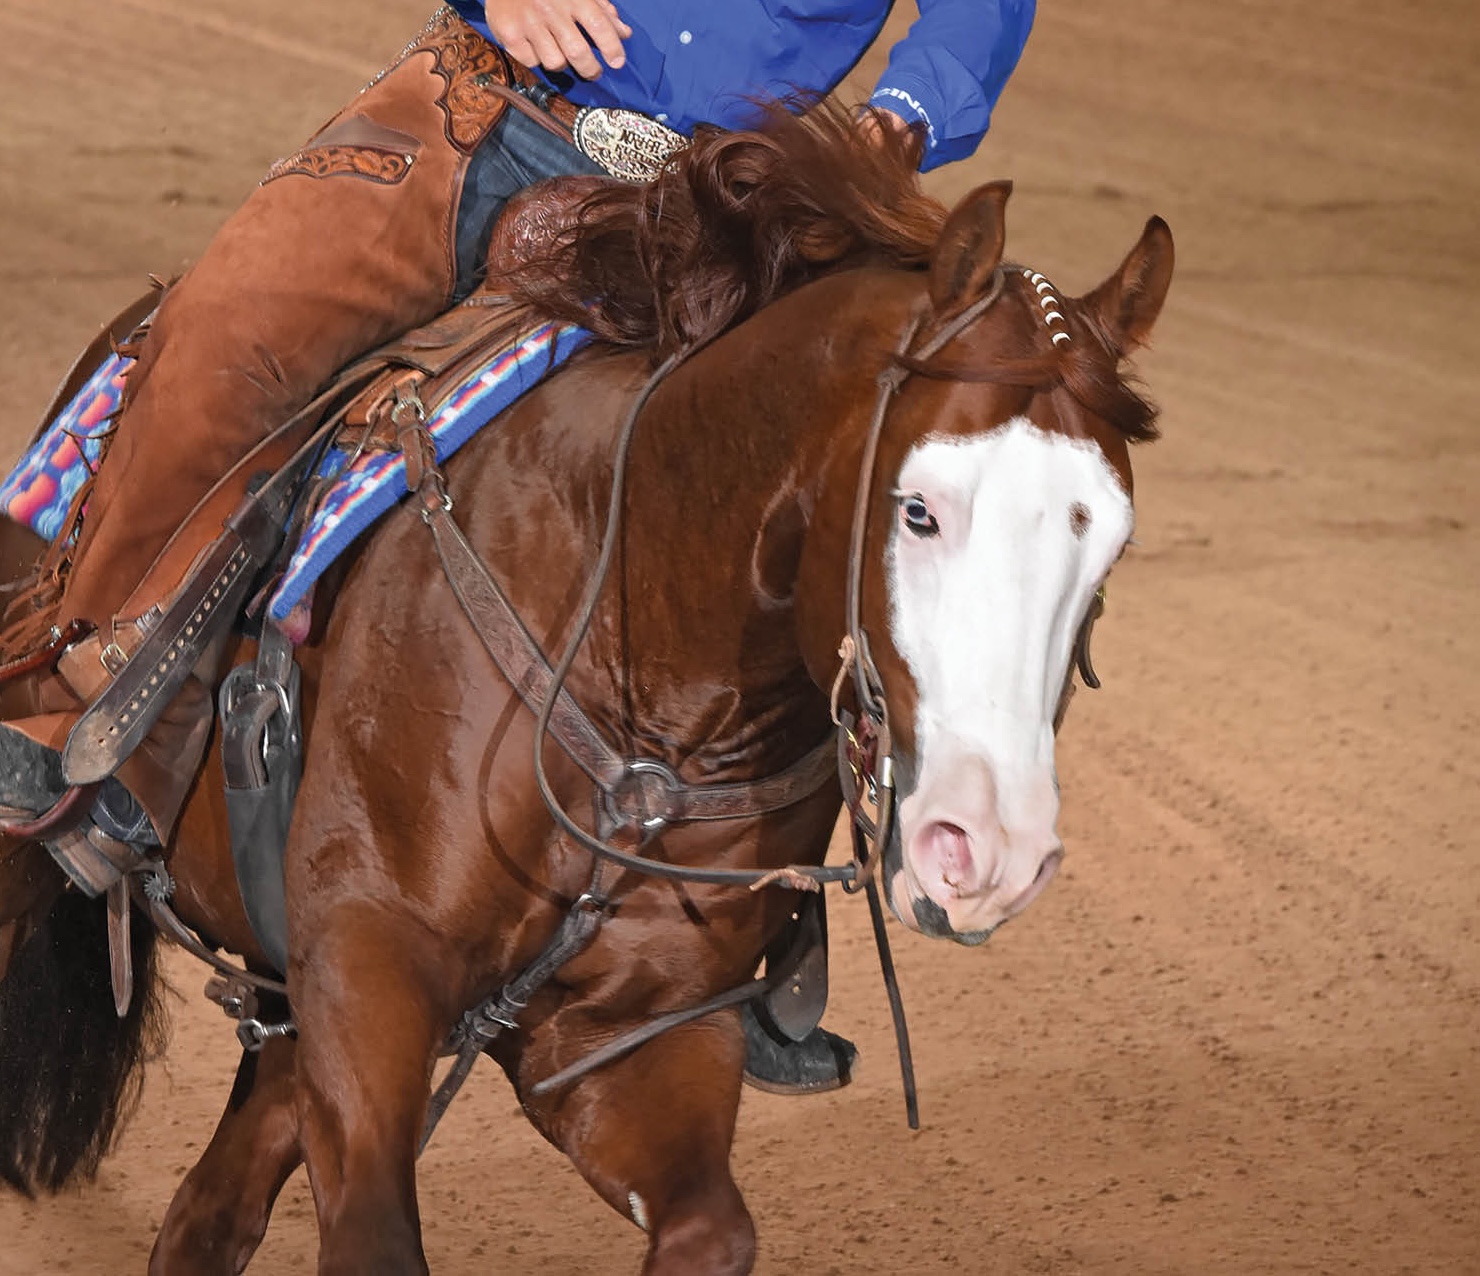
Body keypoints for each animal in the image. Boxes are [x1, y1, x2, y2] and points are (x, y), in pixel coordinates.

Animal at [0, 108, 1172, 1274]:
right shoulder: (366, 968)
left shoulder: (620, 1044)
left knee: (212, 1206)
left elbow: (712, 1227)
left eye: (1111, 544)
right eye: (920, 508)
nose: (989, 850)